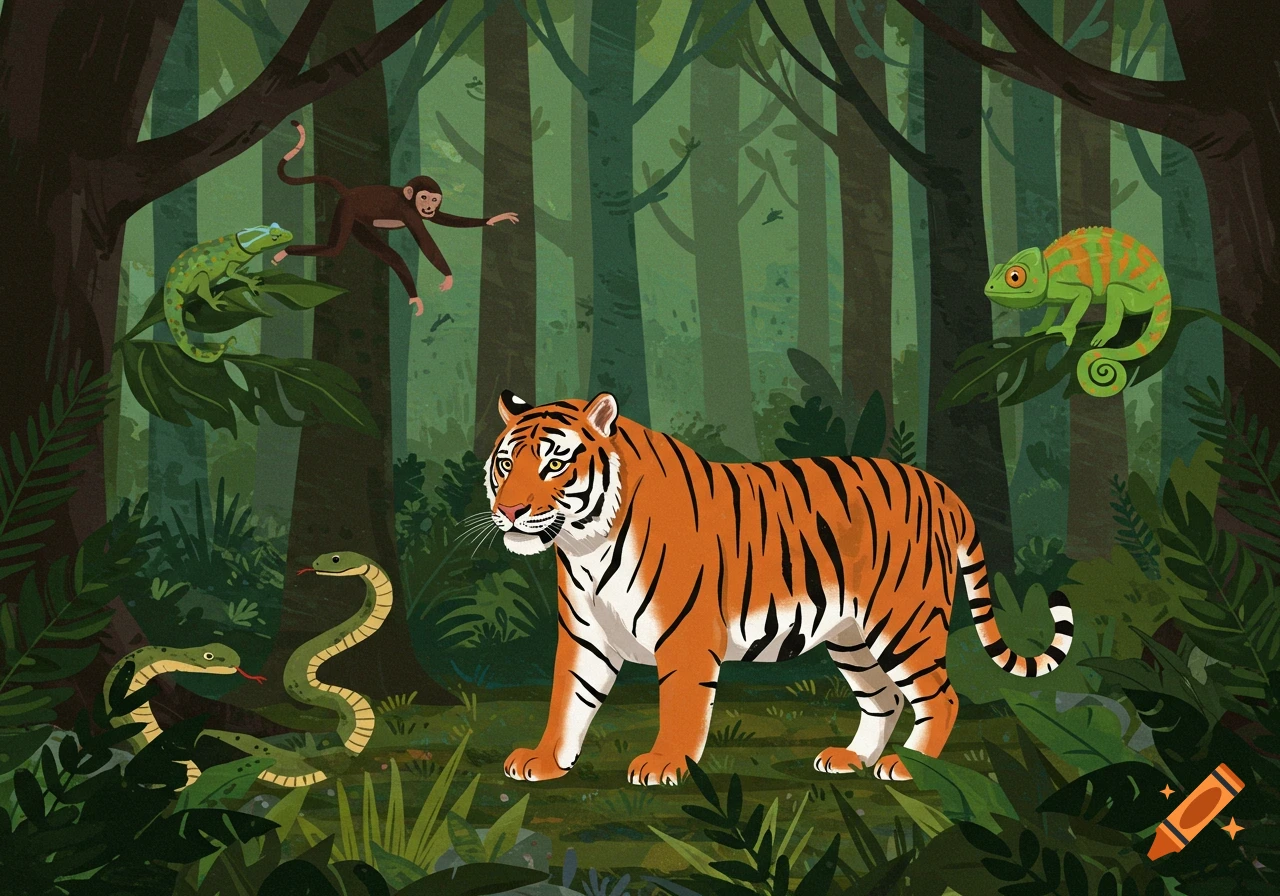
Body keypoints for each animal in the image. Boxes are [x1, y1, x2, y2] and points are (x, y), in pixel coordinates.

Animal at [273, 121, 519, 316]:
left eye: (434, 199)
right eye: (424, 197)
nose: (428, 206)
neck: (409, 200)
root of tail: (349, 192)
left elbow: (445, 219)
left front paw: (494, 219)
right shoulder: (409, 213)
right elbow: (426, 243)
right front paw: (448, 275)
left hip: (356, 222)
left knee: (387, 255)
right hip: (347, 211)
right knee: (335, 249)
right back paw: (283, 252)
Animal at [485, 391, 1074, 786]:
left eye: (554, 464)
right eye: (507, 463)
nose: (509, 511)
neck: (587, 543)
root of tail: (940, 486)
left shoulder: (686, 636)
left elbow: (680, 705)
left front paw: (664, 763)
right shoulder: (586, 636)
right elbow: (568, 701)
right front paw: (544, 760)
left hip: (902, 620)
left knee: (941, 696)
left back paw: (910, 766)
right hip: (852, 637)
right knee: (883, 697)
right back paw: (851, 759)